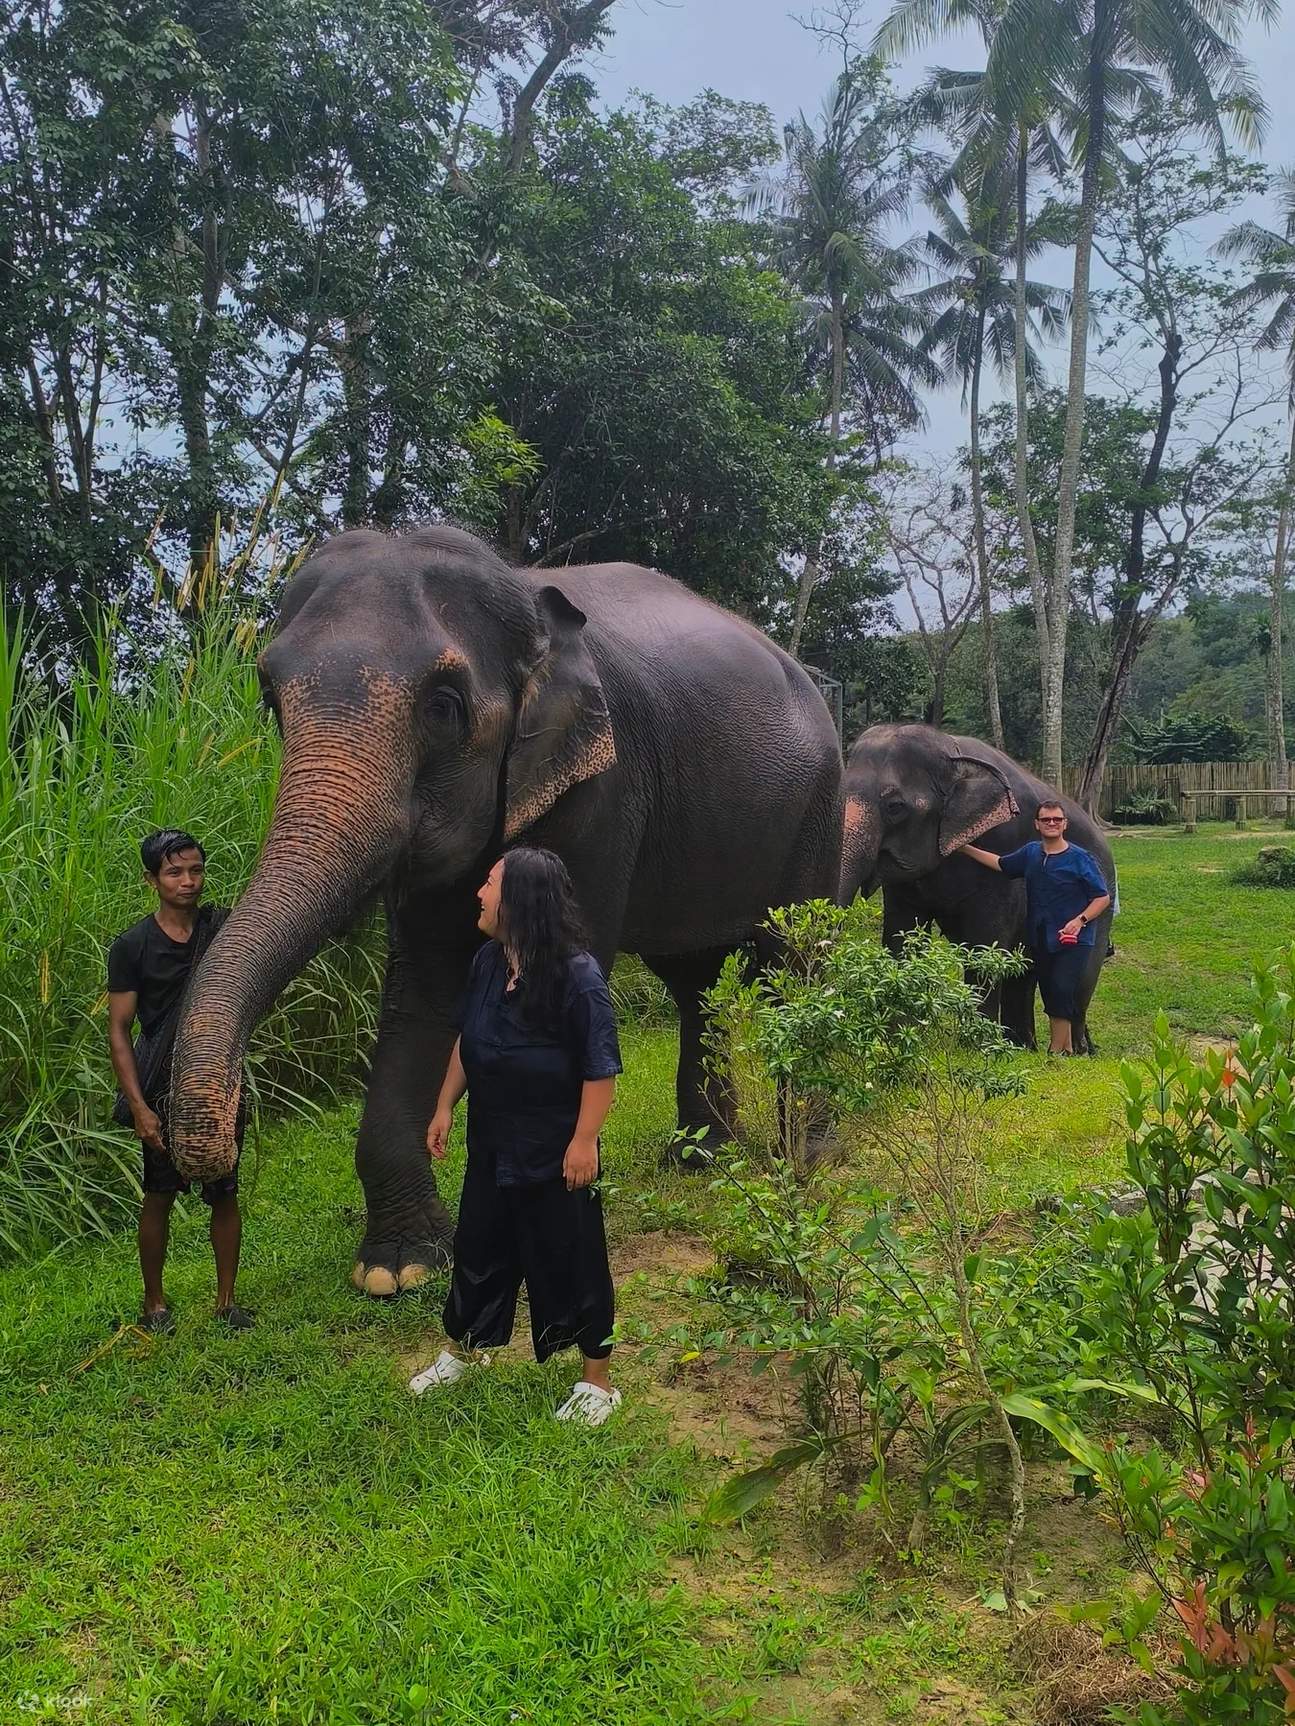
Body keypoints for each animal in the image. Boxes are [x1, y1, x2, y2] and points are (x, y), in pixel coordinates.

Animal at [168, 524, 843, 1295]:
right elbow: (427, 989)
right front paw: (399, 1268)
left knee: (795, 966)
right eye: (271, 699)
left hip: (817, 809)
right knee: (692, 982)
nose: (223, 1146)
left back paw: (808, 1157)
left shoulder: (601, 789)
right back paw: (700, 1161)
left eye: (442, 706)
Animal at [839, 723, 1115, 1053]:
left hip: (1101, 904)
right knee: (1024, 976)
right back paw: (1024, 1047)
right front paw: (897, 1038)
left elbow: (986, 942)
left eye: (895, 807)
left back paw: (1074, 1052)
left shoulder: (1003, 846)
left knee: (1073, 984)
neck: (952, 750)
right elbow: (901, 936)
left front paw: (977, 1046)